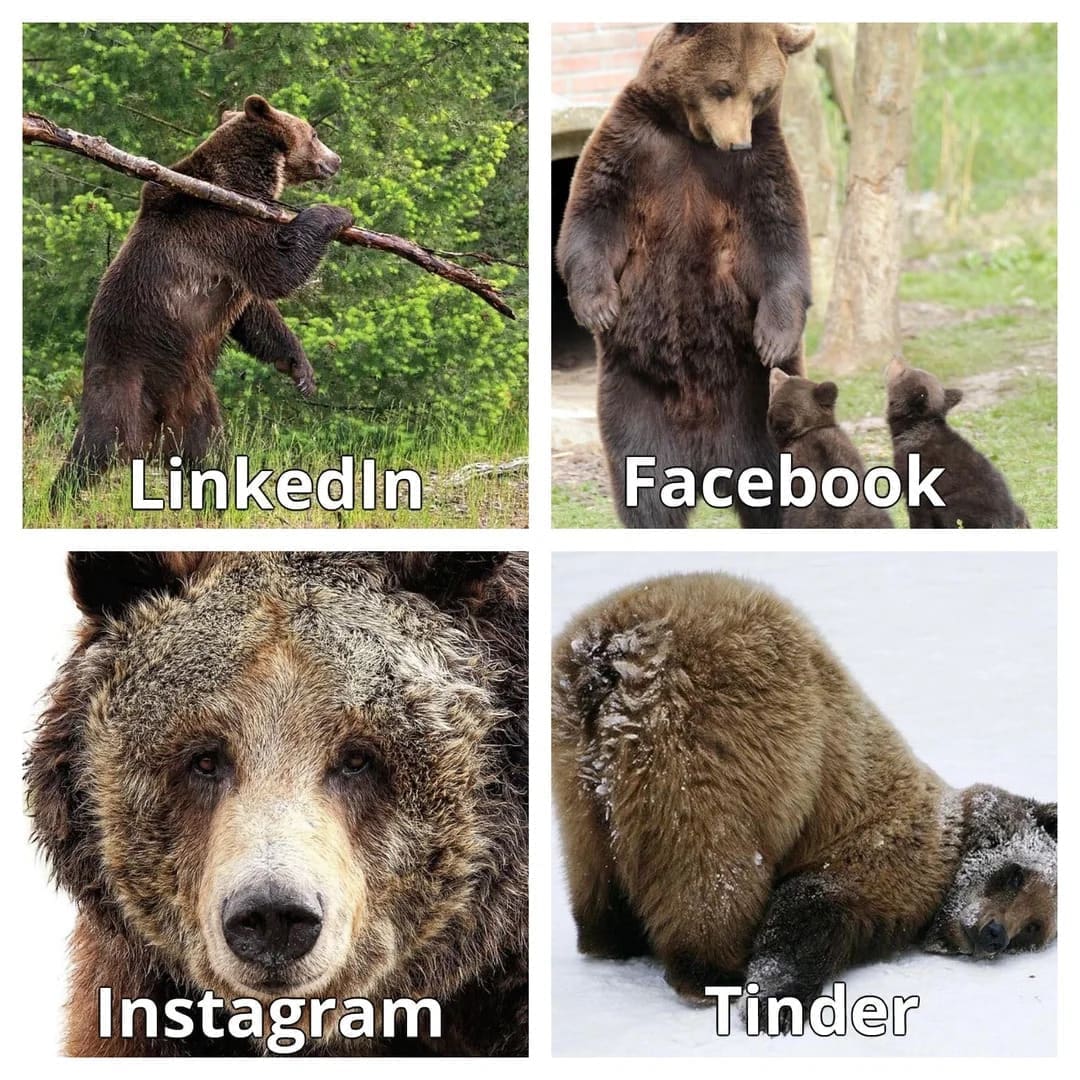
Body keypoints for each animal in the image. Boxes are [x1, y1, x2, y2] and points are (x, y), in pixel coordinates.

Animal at [50, 95, 354, 508]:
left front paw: (301, 370)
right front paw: (336, 213)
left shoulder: (228, 263)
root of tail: (151, 440)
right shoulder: (221, 225)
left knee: (211, 455)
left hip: (195, 403)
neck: (246, 183)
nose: (336, 159)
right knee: (93, 450)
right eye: (315, 133)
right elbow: (278, 269)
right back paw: (57, 499)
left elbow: (254, 314)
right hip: (121, 384)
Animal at [552, 572, 1055, 1028]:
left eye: (1033, 930)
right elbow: (814, 903)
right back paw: (712, 972)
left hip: (574, 761)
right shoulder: (889, 841)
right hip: (734, 739)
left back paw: (608, 936)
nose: (995, 934)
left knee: (592, 860)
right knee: (712, 867)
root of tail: (617, 651)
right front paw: (772, 999)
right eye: (1015, 876)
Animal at [556, 23, 816, 529]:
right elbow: (593, 215)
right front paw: (598, 307)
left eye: (761, 92)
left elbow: (780, 240)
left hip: (758, 397)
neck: (695, 139)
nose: (738, 141)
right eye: (723, 86)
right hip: (634, 397)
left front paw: (773, 337)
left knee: (779, 480)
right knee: (645, 489)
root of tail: (706, 462)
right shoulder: (635, 146)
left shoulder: (759, 167)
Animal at [885, 357, 1030, 528]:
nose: (896, 357)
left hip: (954, 505)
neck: (910, 428)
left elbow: (919, 517)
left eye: (904, 372)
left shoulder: (917, 483)